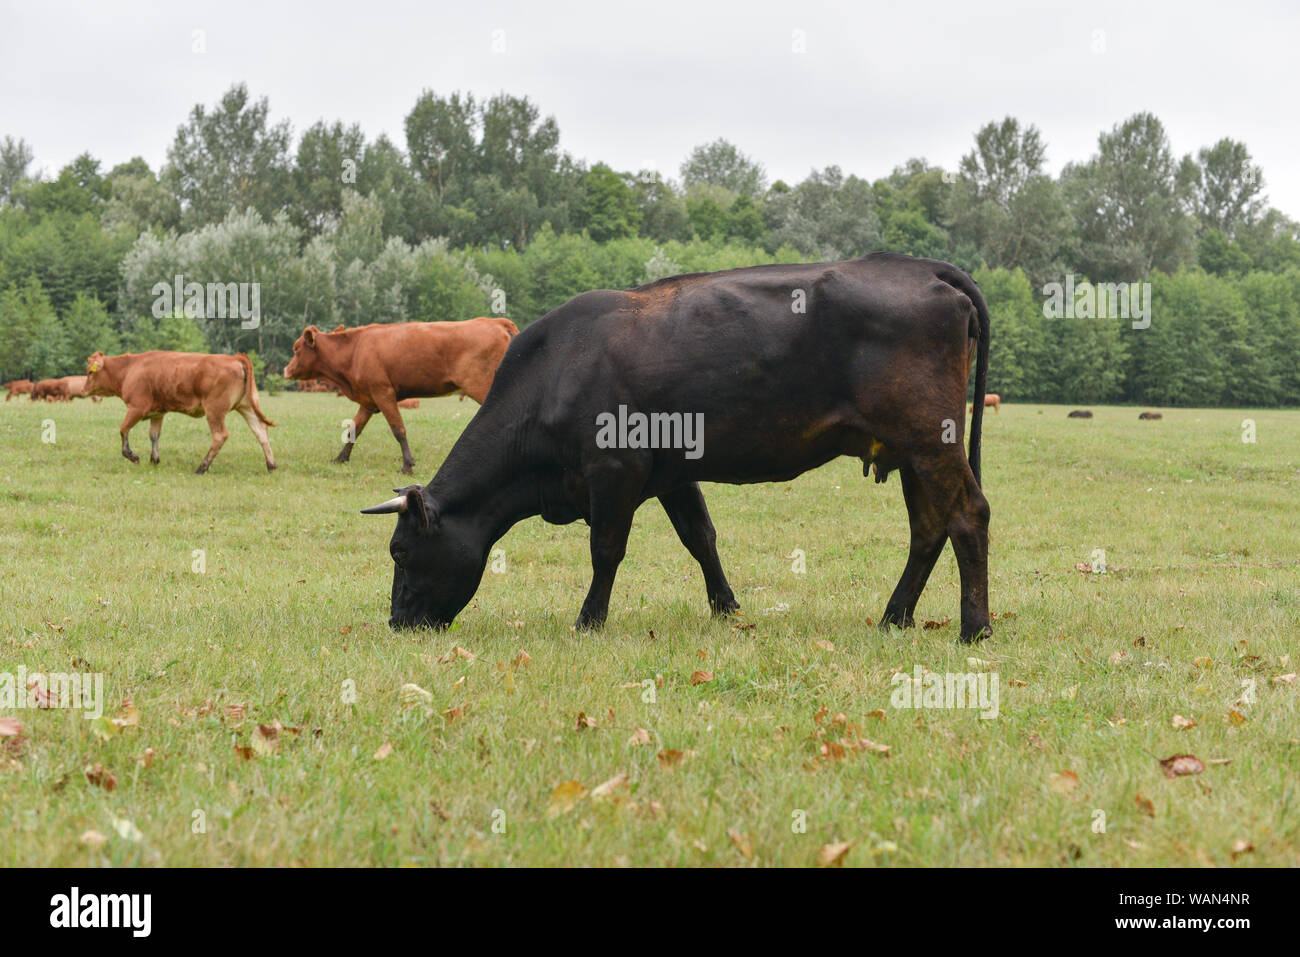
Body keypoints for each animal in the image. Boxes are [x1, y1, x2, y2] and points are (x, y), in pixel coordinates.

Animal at [83, 350, 276, 473]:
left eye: (90, 373)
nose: (83, 390)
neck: (129, 368)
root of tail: (235, 358)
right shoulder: (157, 413)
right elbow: (154, 435)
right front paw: (154, 460)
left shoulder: (136, 408)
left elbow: (123, 429)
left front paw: (132, 456)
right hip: (247, 406)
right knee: (261, 431)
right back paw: (271, 465)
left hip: (214, 411)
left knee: (220, 436)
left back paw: (202, 467)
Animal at [283, 317, 519, 473]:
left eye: (296, 348)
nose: (286, 370)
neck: (355, 350)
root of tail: (495, 321)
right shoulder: (369, 400)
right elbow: (354, 429)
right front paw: (340, 458)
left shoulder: (383, 392)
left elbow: (398, 429)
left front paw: (407, 465)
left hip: (482, 386)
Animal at [362, 252, 993, 643]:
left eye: (399, 552)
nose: (396, 623)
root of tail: (921, 267)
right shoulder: (670, 471)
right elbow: (700, 538)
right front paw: (727, 608)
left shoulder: (614, 467)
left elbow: (606, 549)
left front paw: (588, 621)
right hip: (910, 449)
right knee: (928, 527)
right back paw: (895, 616)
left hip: (931, 440)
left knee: (967, 515)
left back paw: (974, 628)